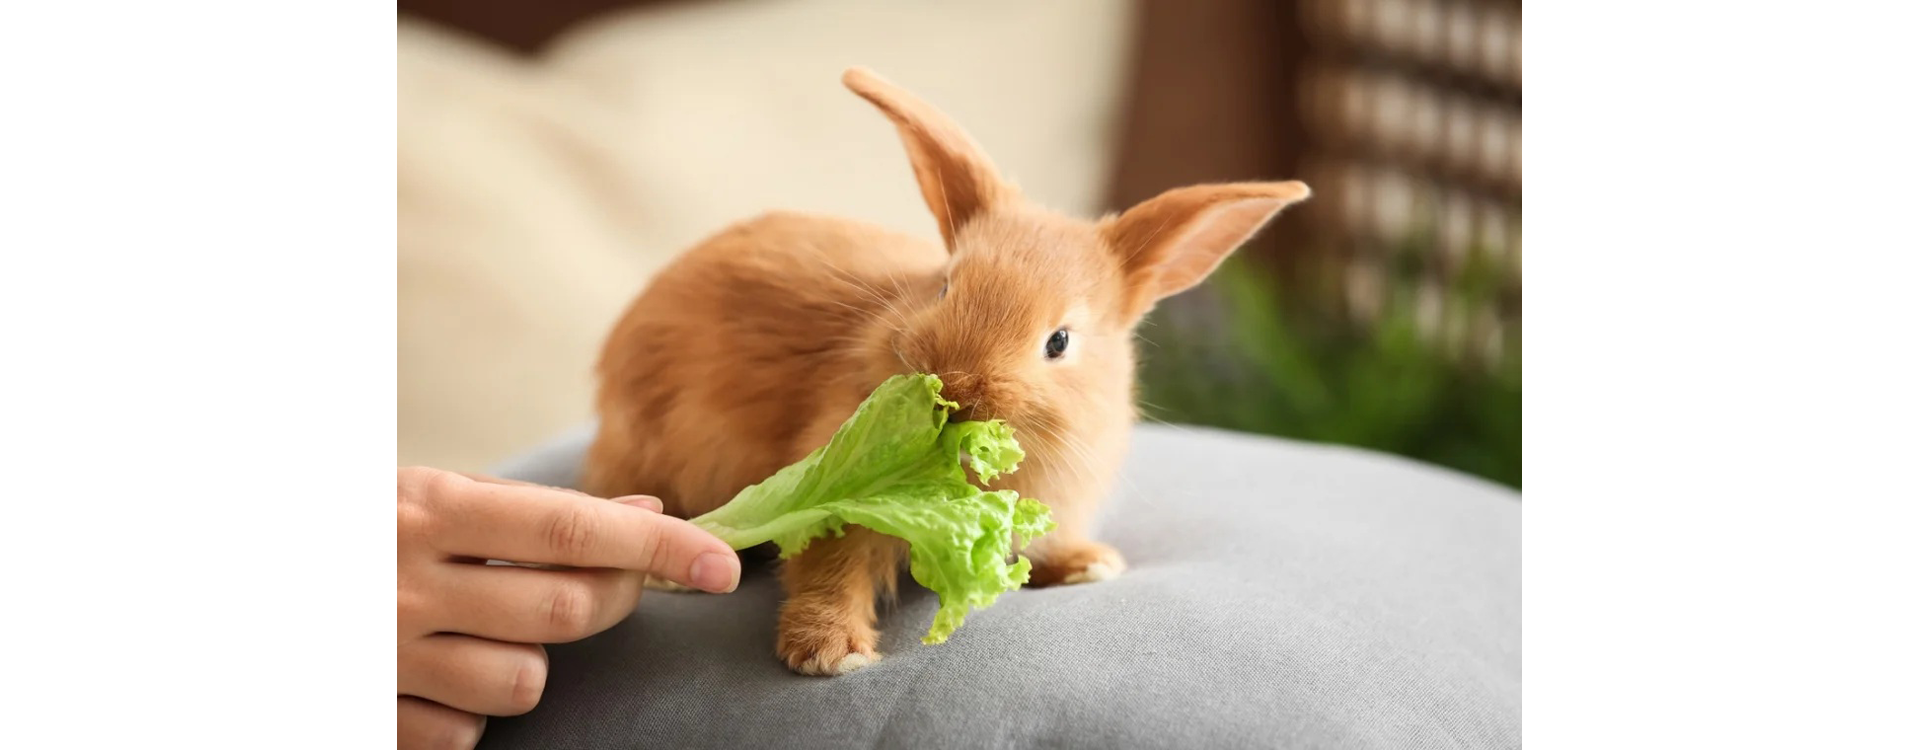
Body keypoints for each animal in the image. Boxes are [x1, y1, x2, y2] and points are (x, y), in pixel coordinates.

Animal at [581, 66, 1310, 675]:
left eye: (1059, 341)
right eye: (945, 287)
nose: (955, 390)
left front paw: (1088, 566)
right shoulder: (833, 492)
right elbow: (829, 567)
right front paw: (832, 653)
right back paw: (671, 572)